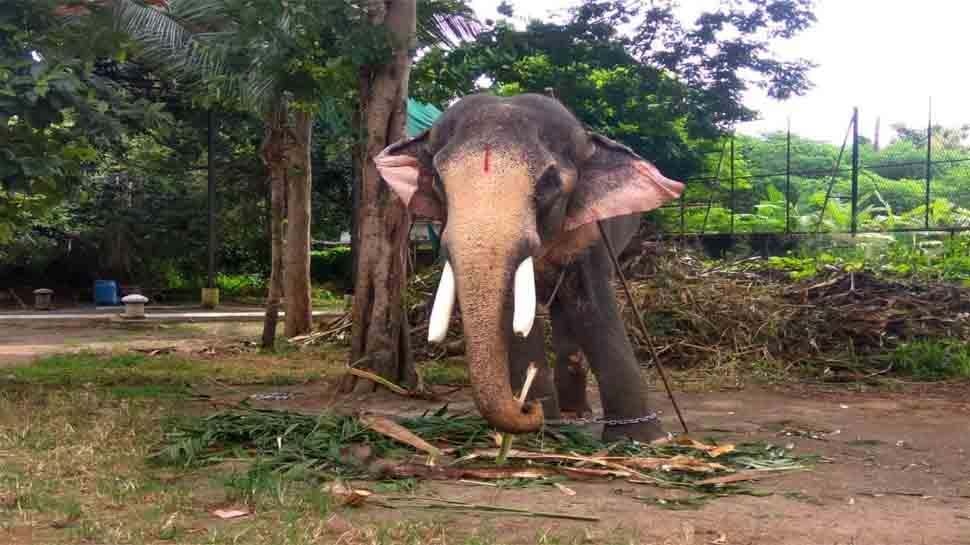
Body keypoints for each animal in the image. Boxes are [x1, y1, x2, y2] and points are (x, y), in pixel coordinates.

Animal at [375, 93, 684, 442]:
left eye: (550, 182)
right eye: (438, 181)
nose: (526, 408)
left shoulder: (591, 231)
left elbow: (594, 306)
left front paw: (642, 440)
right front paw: (544, 427)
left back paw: (577, 414)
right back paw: (568, 415)